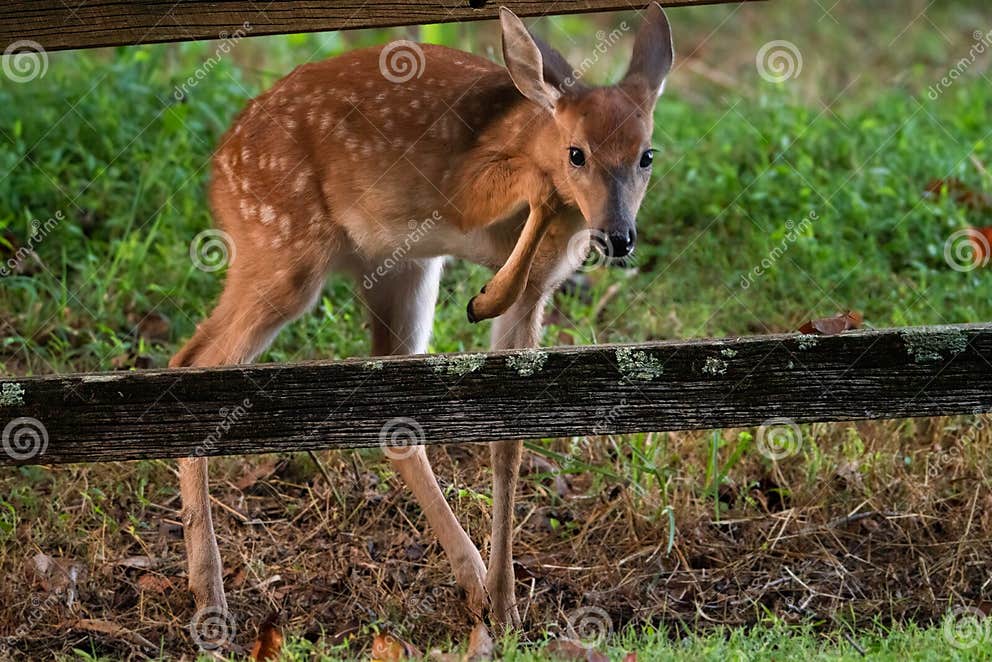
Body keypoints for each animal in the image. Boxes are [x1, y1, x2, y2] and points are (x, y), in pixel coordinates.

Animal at [171, 2, 674, 639]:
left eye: (647, 155)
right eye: (577, 153)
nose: (619, 236)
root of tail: (217, 163)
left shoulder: (539, 292)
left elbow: (508, 444)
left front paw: (507, 606)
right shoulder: (460, 187)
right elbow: (531, 187)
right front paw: (485, 295)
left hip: (398, 267)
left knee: (395, 416)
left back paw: (473, 584)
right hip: (279, 245)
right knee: (190, 361)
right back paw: (209, 597)